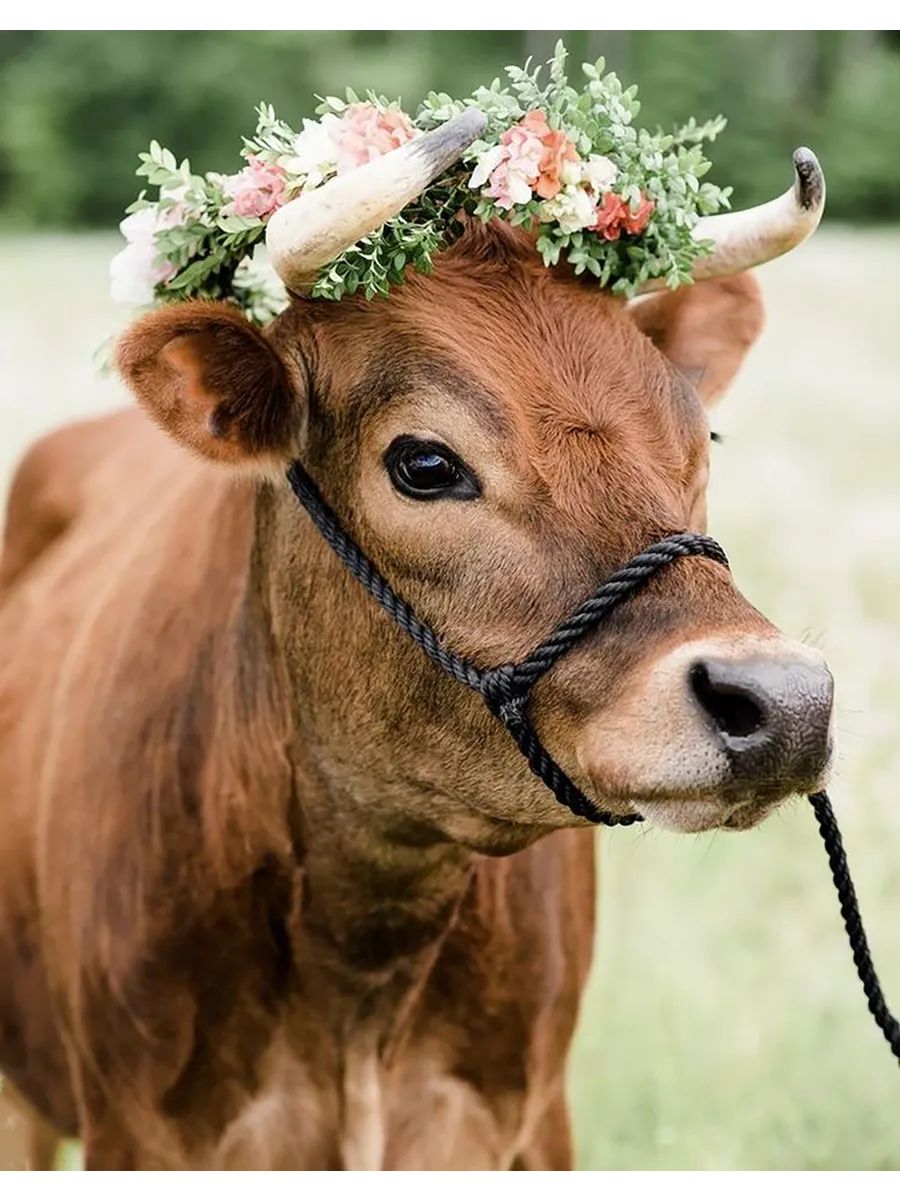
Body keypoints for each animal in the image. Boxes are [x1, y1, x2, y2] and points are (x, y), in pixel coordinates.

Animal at [0, 117, 833, 1169]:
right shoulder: (137, 1134)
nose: (785, 701)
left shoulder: (535, 1122)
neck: (363, 968)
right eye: (425, 464)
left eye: (702, 440)